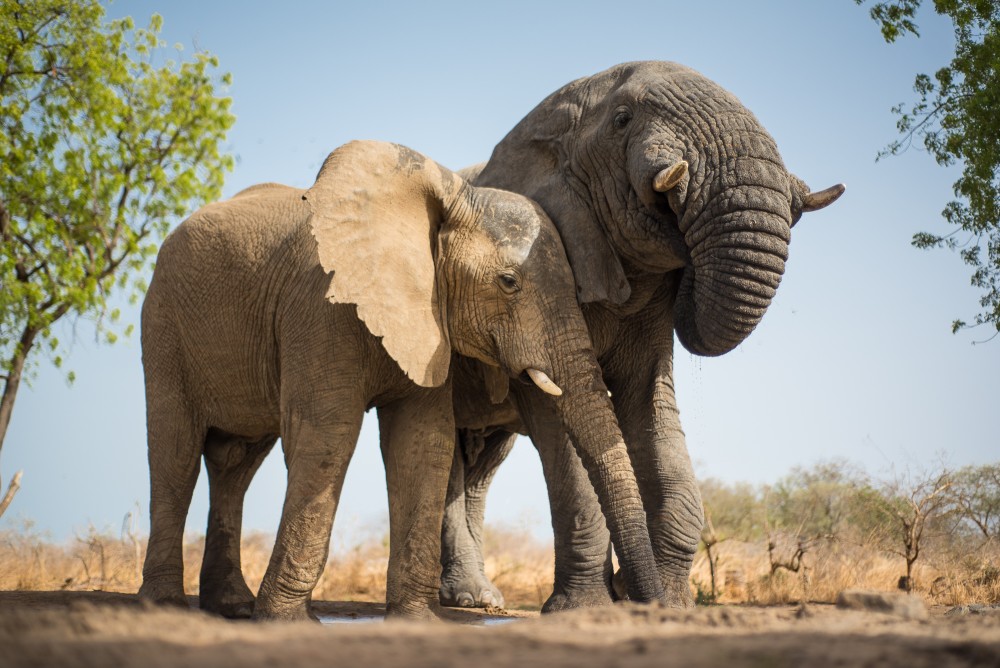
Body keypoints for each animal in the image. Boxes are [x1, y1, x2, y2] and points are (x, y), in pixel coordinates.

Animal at [137, 140, 665, 621]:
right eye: (509, 282)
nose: (650, 601)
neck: (447, 201)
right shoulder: (320, 308)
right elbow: (326, 436)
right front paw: (287, 621)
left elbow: (423, 443)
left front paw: (416, 619)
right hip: (163, 324)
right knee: (176, 452)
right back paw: (166, 606)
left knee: (235, 463)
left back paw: (232, 606)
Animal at [437, 60, 845, 611]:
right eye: (622, 120)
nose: (632, 591)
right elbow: (561, 426)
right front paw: (586, 609)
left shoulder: (649, 310)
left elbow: (649, 405)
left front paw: (665, 602)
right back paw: (469, 600)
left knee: (483, 462)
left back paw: (476, 600)